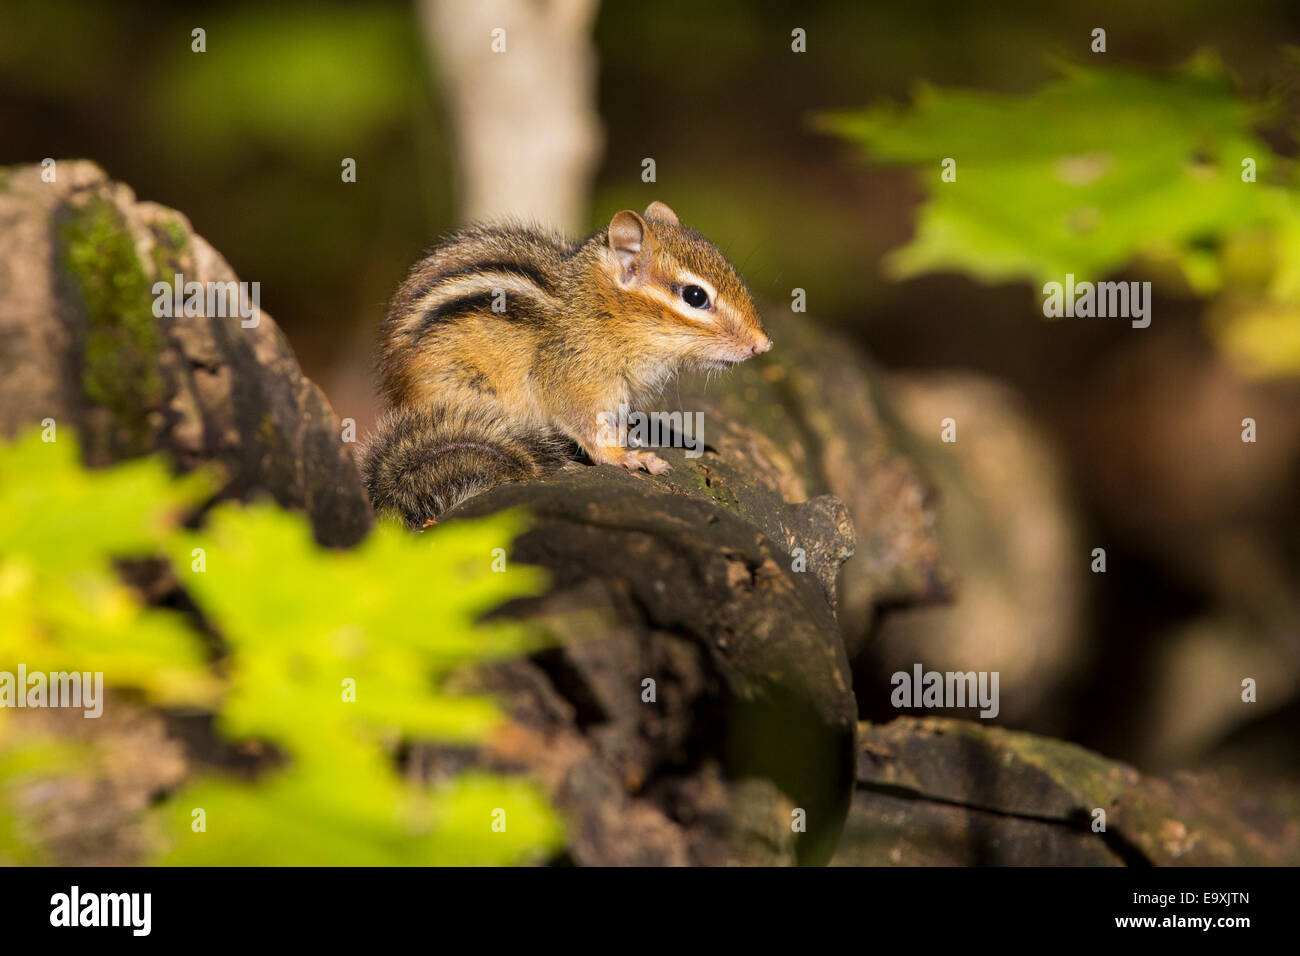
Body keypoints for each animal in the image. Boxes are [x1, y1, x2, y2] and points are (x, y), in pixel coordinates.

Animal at [362, 201, 772, 527]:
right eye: (695, 296)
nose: (763, 345)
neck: (603, 311)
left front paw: (629, 441)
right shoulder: (573, 380)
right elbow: (585, 428)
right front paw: (624, 457)